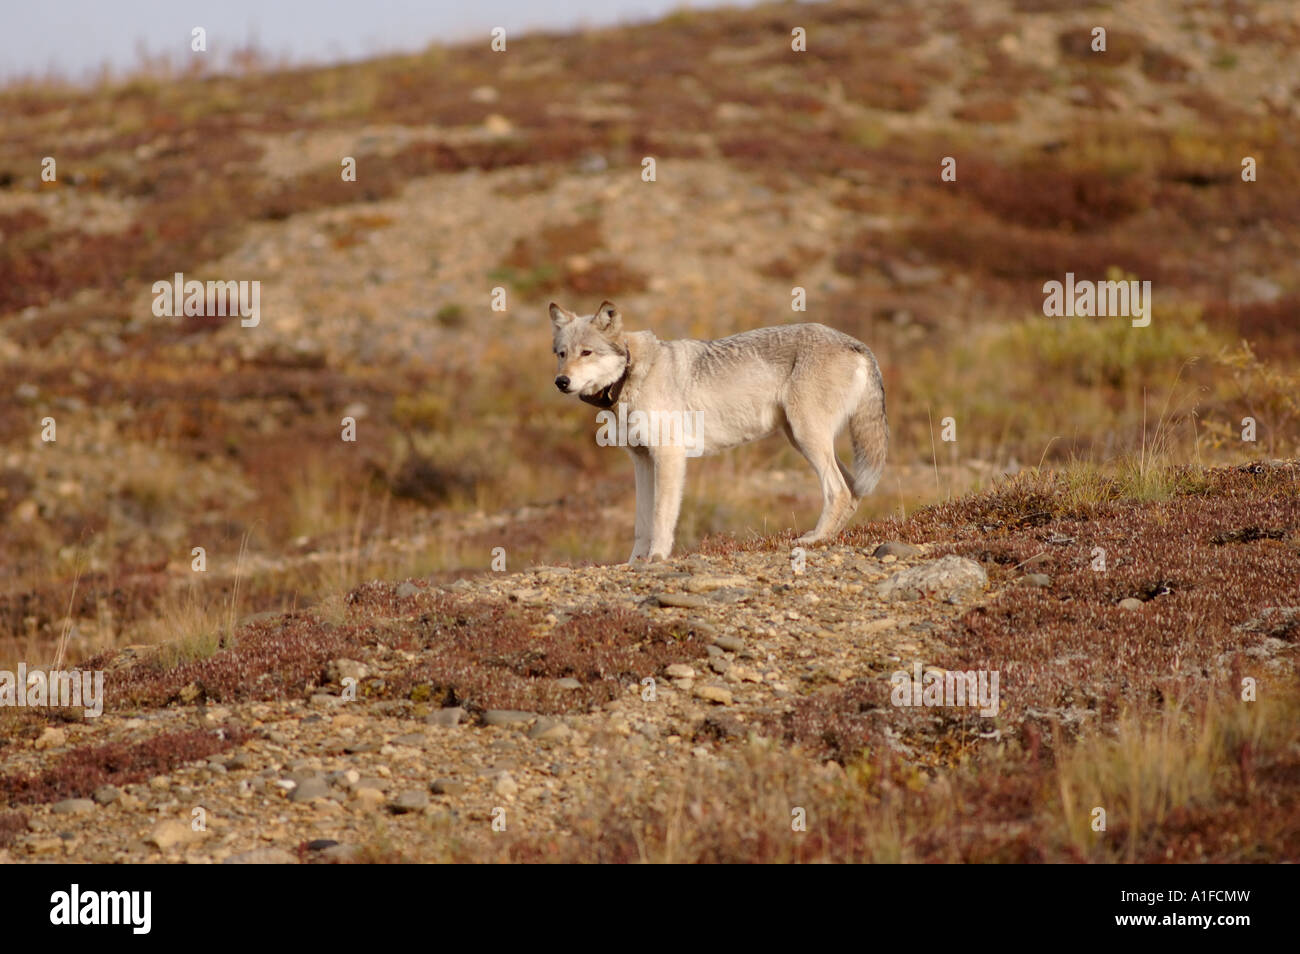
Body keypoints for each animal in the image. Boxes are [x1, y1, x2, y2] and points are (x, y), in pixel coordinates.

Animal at [550, 300, 888, 563]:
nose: (561, 382)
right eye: (562, 353)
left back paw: (813, 539)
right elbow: (641, 524)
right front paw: (634, 563)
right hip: (801, 439)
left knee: (838, 490)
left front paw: (658, 557)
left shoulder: (669, 457)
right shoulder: (643, 462)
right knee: (852, 491)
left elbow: (661, 517)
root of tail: (856, 343)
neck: (633, 374)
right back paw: (828, 538)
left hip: (807, 438)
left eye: (587, 353)